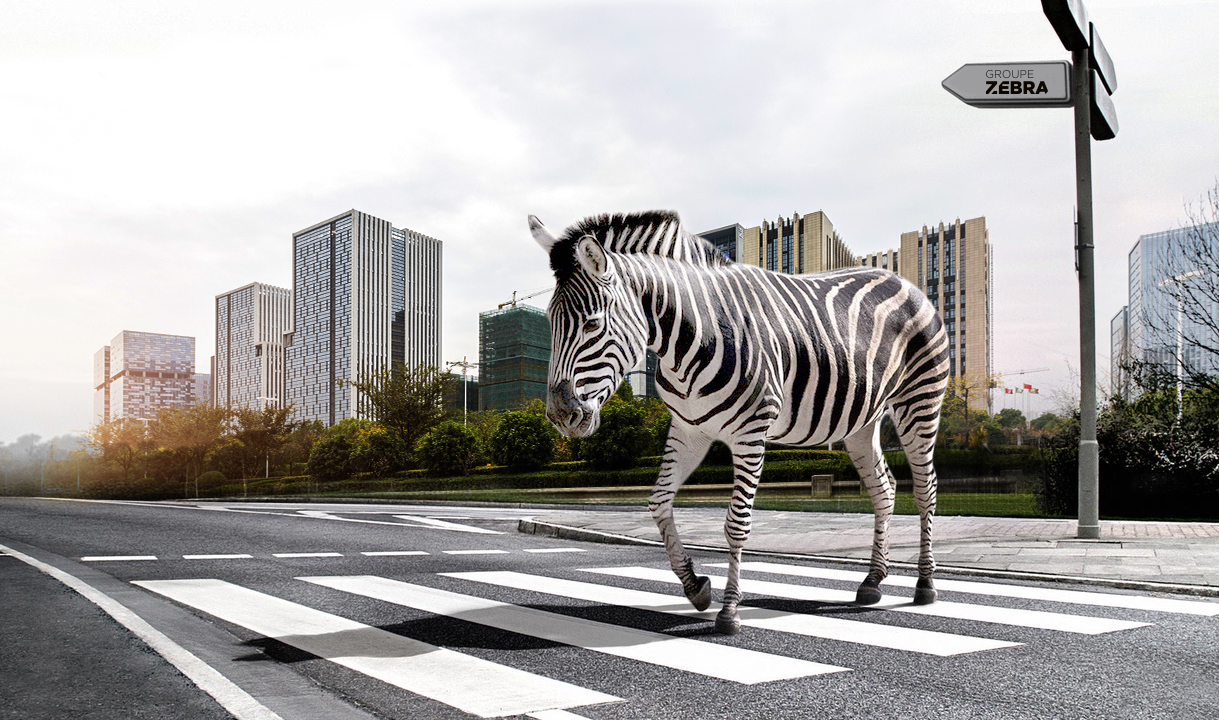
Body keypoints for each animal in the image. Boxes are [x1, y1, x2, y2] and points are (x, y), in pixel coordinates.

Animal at [530, 210, 949, 635]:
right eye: (550, 321)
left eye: (592, 324)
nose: (561, 416)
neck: (689, 338)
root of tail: (903, 281)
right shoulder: (689, 429)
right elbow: (658, 503)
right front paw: (696, 587)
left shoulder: (751, 431)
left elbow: (736, 523)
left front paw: (729, 609)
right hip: (862, 422)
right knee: (885, 490)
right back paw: (872, 581)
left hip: (920, 401)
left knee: (925, 489)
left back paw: (925, 584)